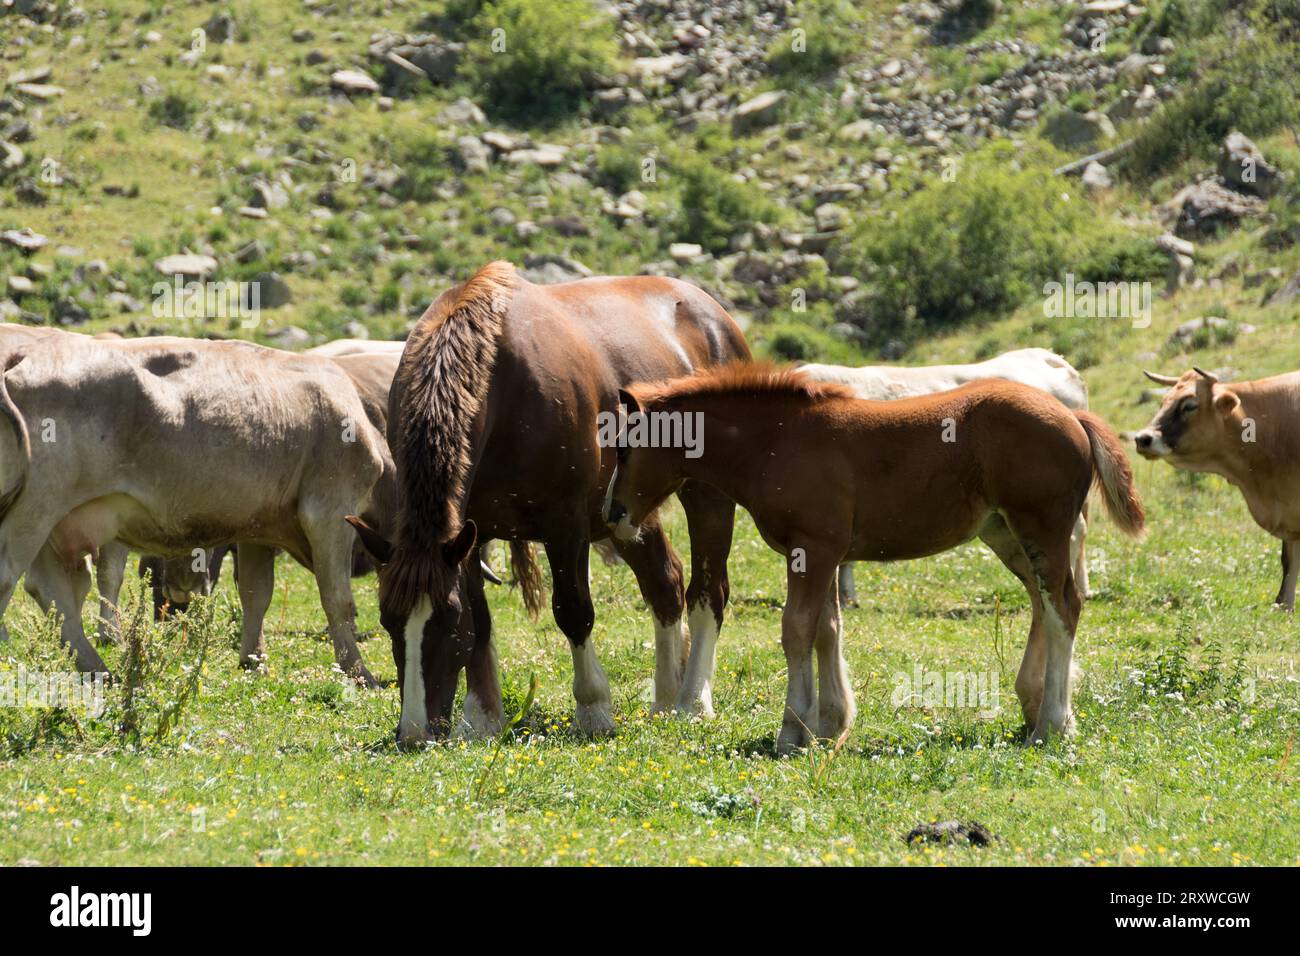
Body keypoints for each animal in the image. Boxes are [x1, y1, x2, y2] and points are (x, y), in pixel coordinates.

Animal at [346, 261, 750, 749]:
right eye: (389, 620)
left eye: (446, 619)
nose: (413, 732)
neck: (503, 385)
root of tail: (715, 316)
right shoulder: (467, 535)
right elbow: (483, 623)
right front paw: (483, 716)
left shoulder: (566, 526)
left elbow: (573, 611)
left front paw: (594, 710)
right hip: (627, 510)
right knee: (665, 583)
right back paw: (666, 698)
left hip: (707, 497)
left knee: (708, 591)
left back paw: (692, 701)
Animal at [602, 363, 1145, 755]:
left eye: (625, 448)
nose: (613, 513)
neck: (778, 440)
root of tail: (1075, 419)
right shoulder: (817, 553)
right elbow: (826, 630)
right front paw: (828, 724)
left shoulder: (815, 547)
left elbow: (796, 630)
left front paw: (792, 732)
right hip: (1005, 533)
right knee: (1041, 601)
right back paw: (1034, 706)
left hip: (1042, 528)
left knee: (1063, 607)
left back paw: (1054, 723)